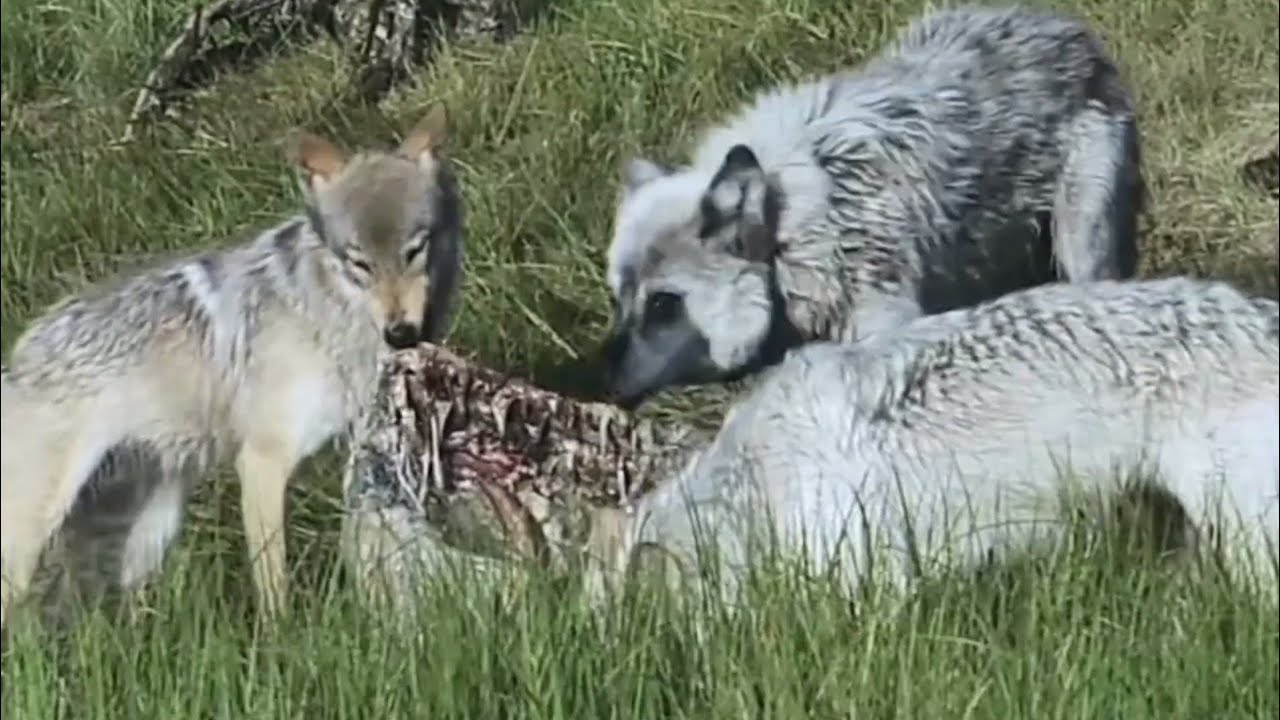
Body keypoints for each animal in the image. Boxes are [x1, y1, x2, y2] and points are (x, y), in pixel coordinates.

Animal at [0, 105, 464, 627]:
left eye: (415, 250)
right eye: (358, 264)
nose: (401, 333)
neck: (330, 315)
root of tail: (19, 355)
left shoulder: (357, 442)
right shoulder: (262, 460)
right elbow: (273, 581)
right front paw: (282, 637)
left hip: (151, 529)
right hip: (33, 537)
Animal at [601, 5, 1144, 408]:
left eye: (663, 305)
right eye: (619, 301)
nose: (596, 380)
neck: (790, 235)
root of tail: (1066, 28)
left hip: (1081, 246)